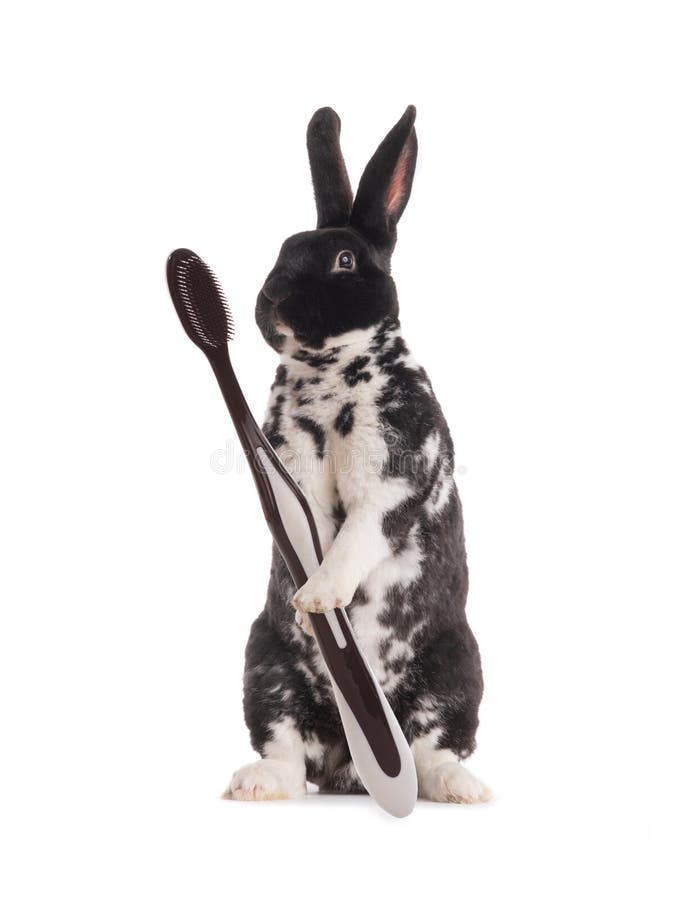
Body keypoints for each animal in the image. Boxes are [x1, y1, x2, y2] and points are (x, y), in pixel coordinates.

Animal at [227, 106, 489, 804]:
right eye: (282, 249)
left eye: (343, 260)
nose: (271, 300)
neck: (331, 371)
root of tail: (349, 763)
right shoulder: (292, 474)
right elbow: (312, 529)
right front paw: (310, 598)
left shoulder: (395, 476)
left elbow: (356, 538)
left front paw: (319, 598)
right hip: (266, 668)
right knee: (287, 750)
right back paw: (257, 784)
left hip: (455, 674)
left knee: (433, 751)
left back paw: (462, 788)